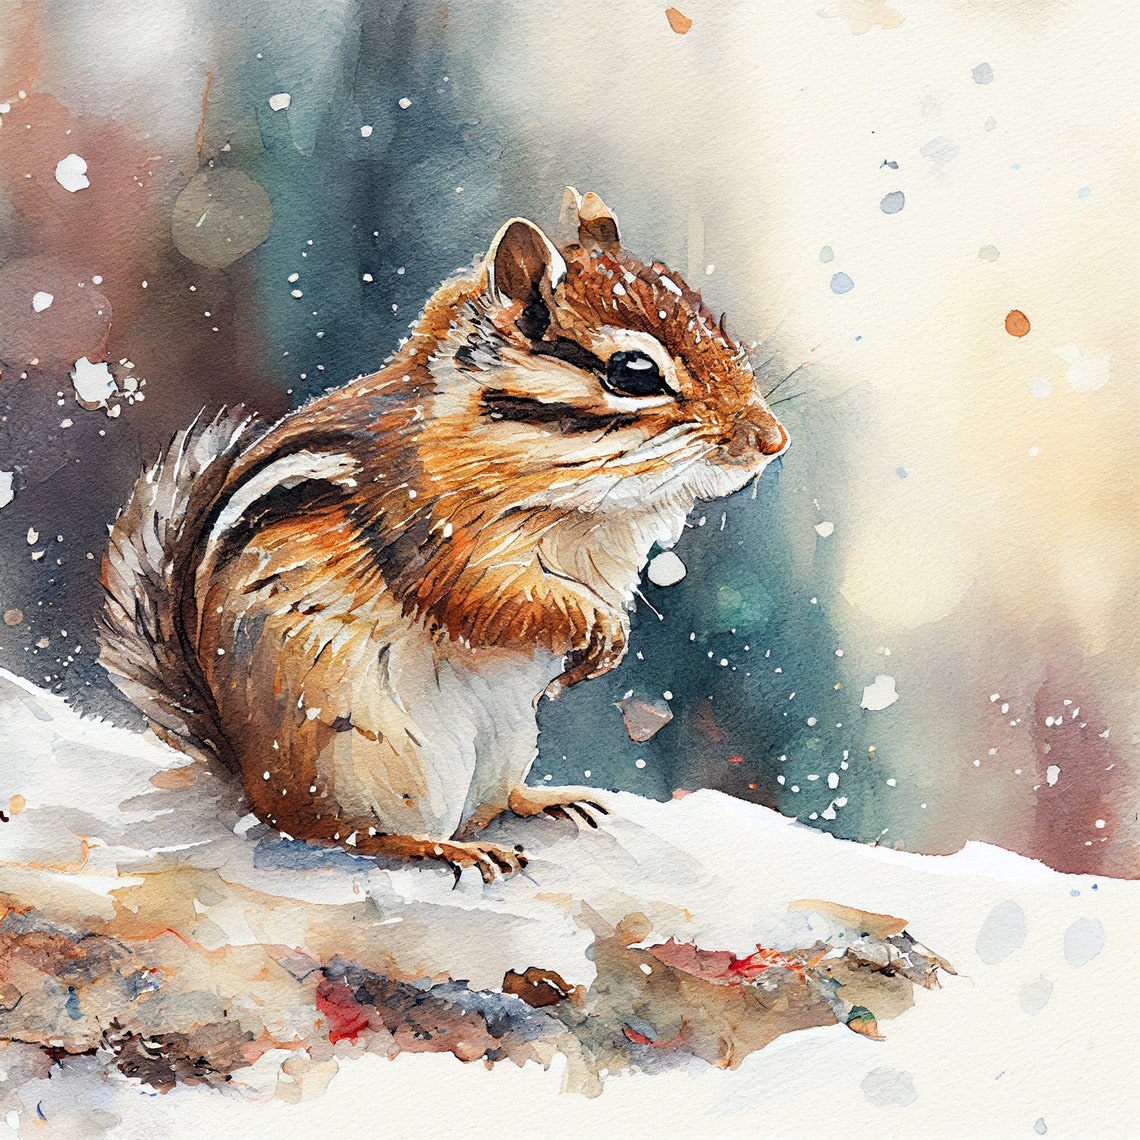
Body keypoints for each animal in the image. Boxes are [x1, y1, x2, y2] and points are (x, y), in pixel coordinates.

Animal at [98, 189, 789, 882]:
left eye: (720, 331)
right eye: (635, 371)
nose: (773, 440)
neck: (589, 505)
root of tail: (246, 777)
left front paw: (600, 649)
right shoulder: (434, 536)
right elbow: (491, 598)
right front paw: (596, 628)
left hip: (509, 738)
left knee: (493, 801)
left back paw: (546, 800)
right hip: (366, 758)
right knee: (341, 831)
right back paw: (445, 846)